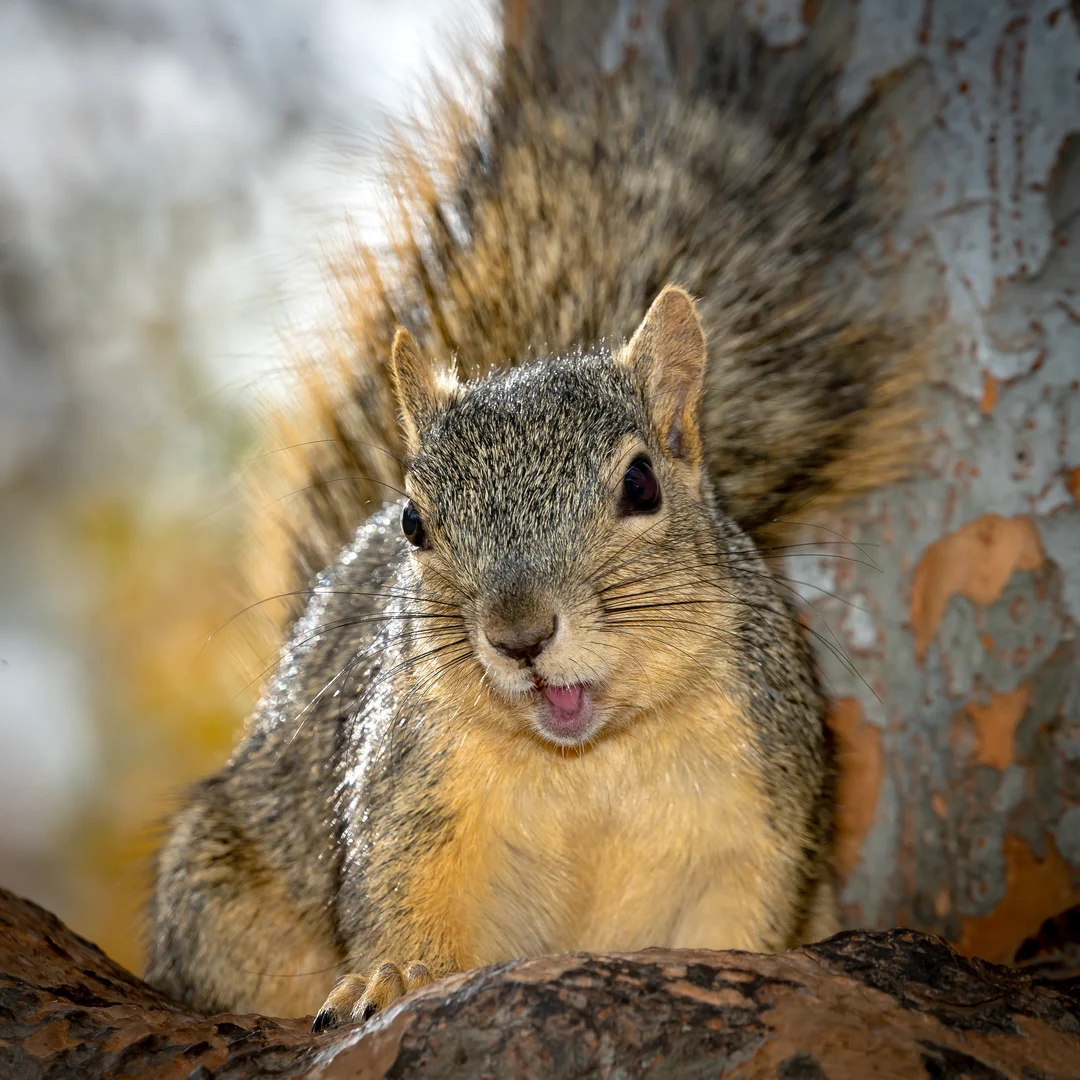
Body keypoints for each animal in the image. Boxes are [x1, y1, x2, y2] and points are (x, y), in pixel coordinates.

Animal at [145, 4, 923, 1031]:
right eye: (414, 521)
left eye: (643, 486)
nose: (520, 637)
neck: (586, 763)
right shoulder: (410, 792)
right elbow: (395, 898)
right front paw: (391, 979)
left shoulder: (760, 813)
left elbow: (746, 918)